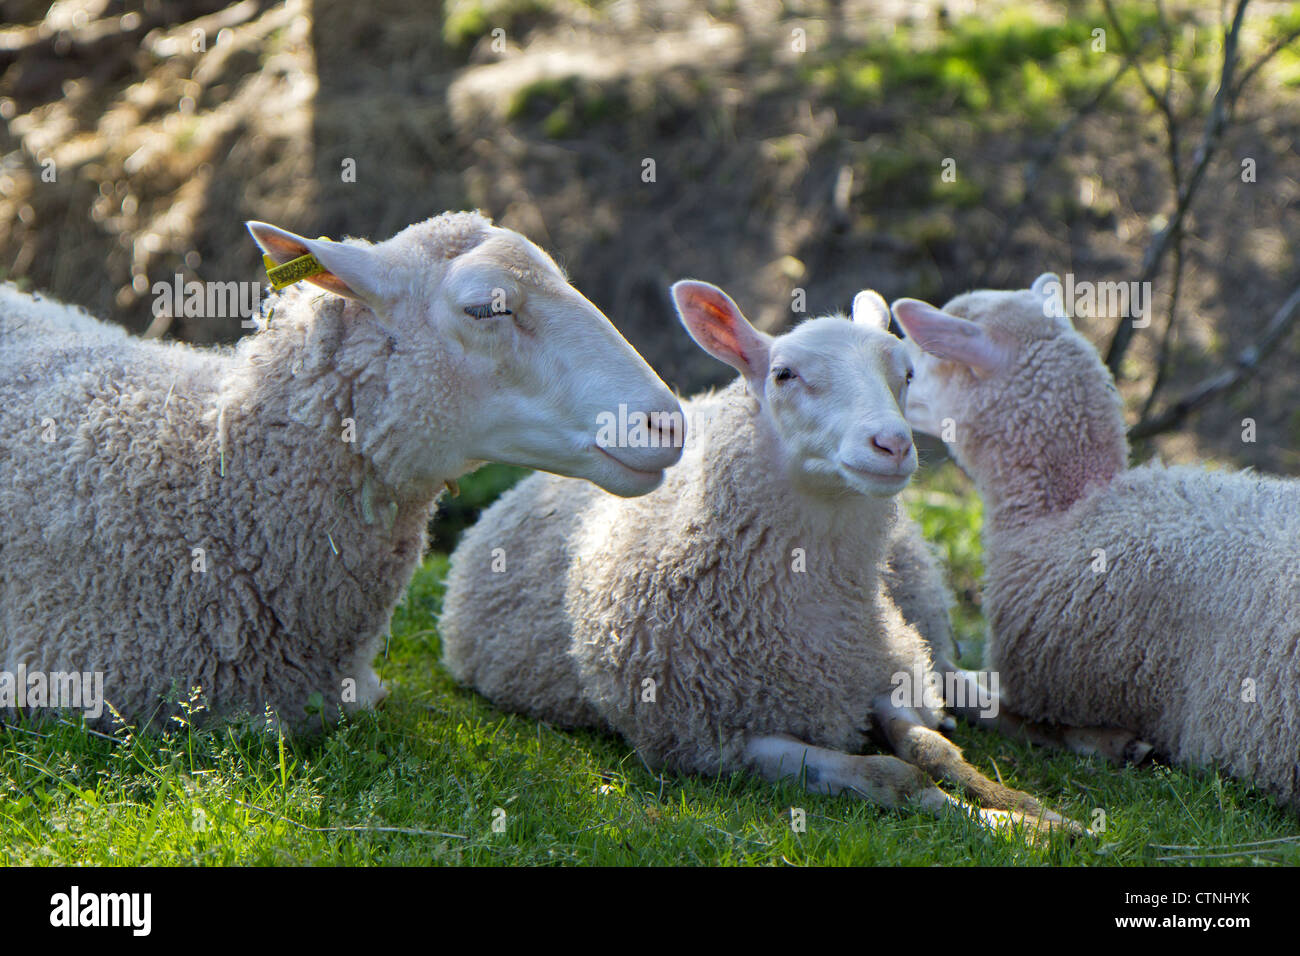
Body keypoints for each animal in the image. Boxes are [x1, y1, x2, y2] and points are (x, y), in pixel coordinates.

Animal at [440, 280, 1081, 836]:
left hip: (921, 615)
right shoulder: (711, 739)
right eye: (784, 374)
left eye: (907, 374)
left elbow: (936, 751)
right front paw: (1010, 828)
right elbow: (895, 774)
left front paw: (1034, 813)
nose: (894, 445)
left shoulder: (882, 668)